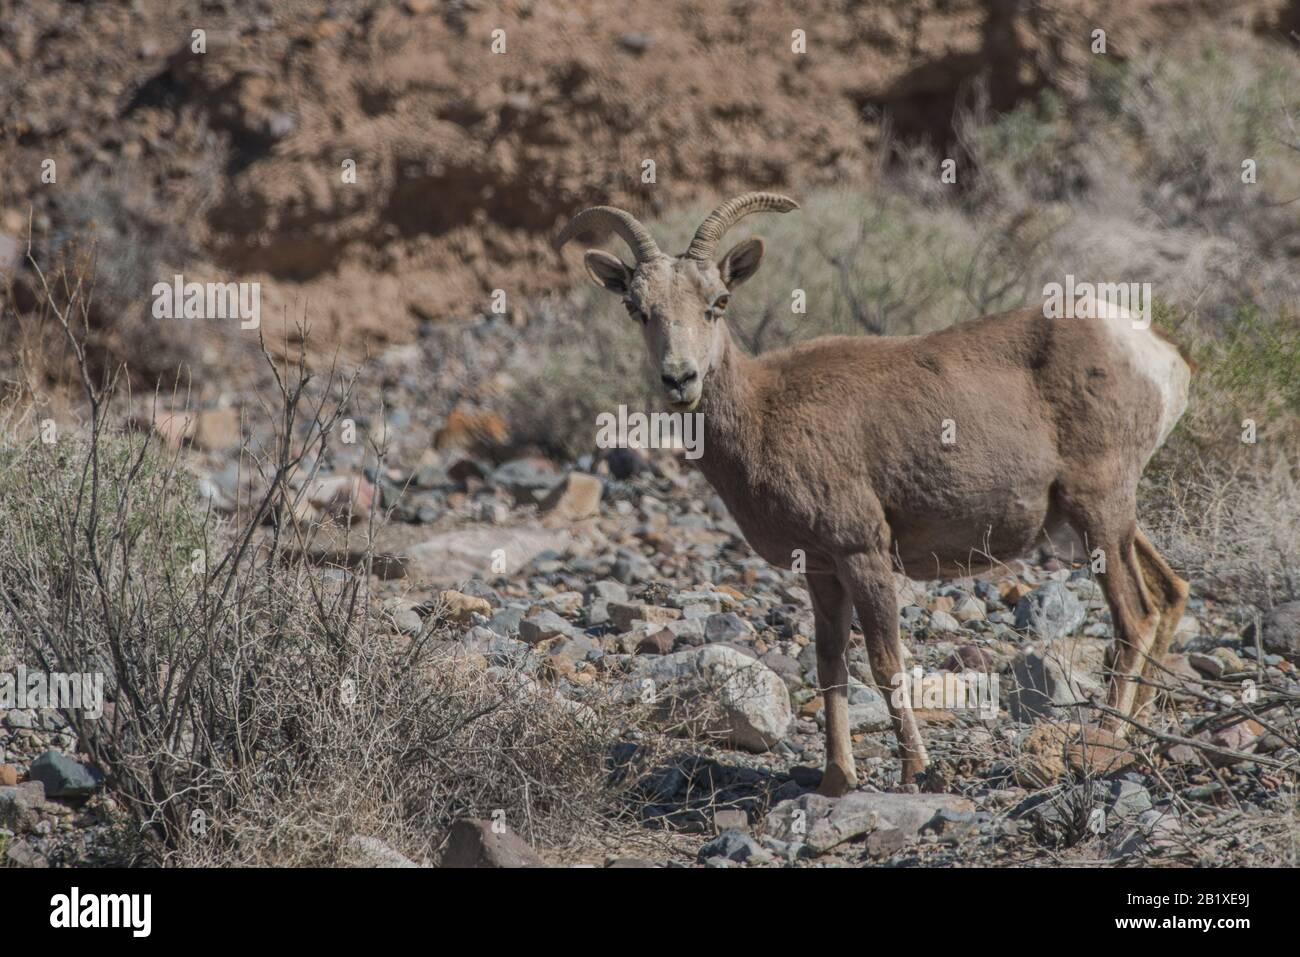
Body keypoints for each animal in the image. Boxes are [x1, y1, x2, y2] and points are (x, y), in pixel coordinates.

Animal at [555, 192, 1193, 796]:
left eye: (718, 302)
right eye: (638, 309)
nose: (680, 379)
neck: (764, 413)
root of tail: (1159, 356)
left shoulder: (863, 554)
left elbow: (885, 663)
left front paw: (917, 771)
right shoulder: (820, 568)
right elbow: (829, 665)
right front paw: (837, 779)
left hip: (1099, 509)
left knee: (1134, 617)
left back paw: (1106, 740)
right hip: (1107, 520)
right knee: (1169, 594)